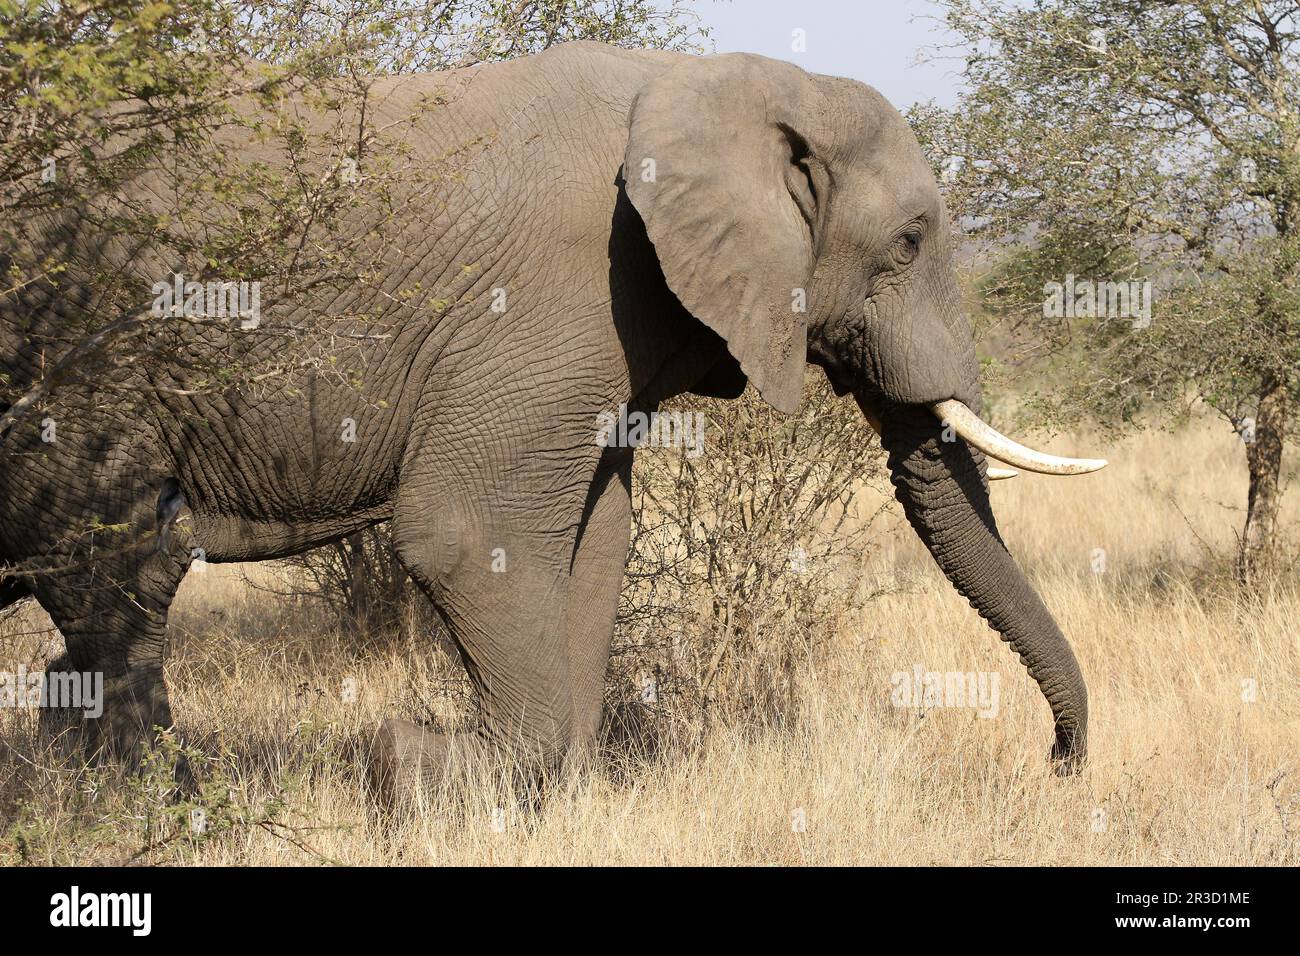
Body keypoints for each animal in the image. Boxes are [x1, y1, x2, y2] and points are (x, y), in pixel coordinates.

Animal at [0, 41, 1105, 804]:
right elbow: (464, 532)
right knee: (122, 576)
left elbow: (597, 537)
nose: (1053, 764)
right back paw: (152, 798)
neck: (720, 83)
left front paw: (561, 793)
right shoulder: (555, 295)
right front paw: (418, 764)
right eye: (909, 240)